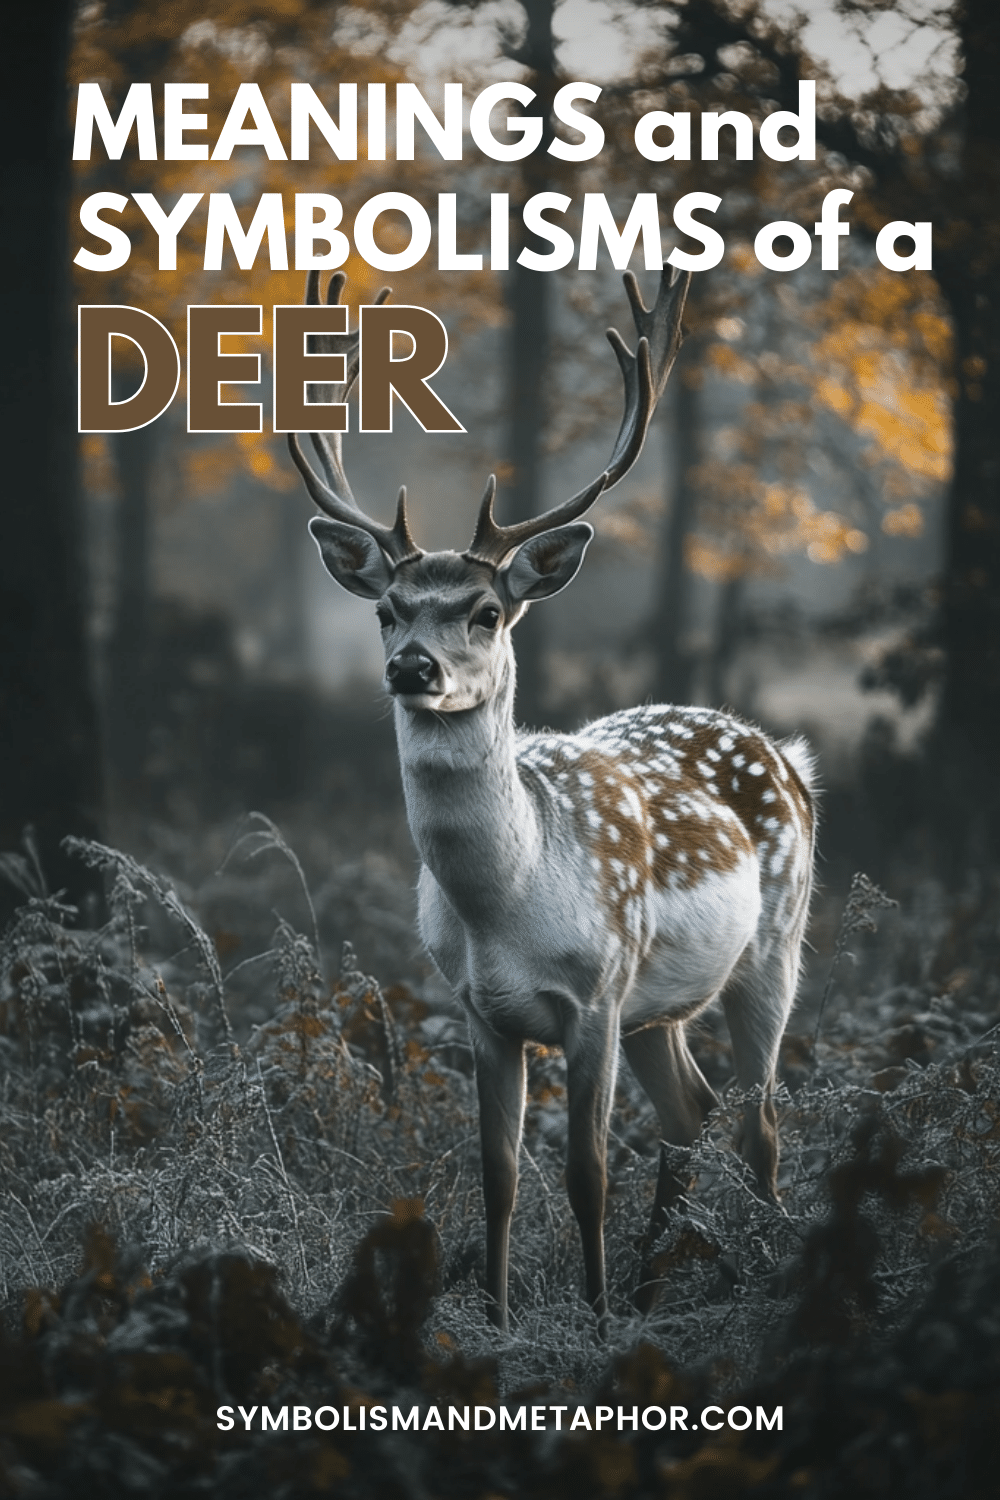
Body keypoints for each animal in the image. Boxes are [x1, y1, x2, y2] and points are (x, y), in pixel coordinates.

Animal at [288, 266, 816, 1335]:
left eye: (487, 611)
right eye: (387, 610)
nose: (412, 667)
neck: (511, 902)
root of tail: (786, 755)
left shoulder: (596, 994)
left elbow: (585, 1174)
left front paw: (595, 1320)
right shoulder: (479, 1009)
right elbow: (497, 1176)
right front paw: (496, 1322)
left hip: (771, 950)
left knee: (760, 1123)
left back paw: (752, 1271)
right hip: (661, 1007)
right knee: (693, 1112)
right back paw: (661, 1285)